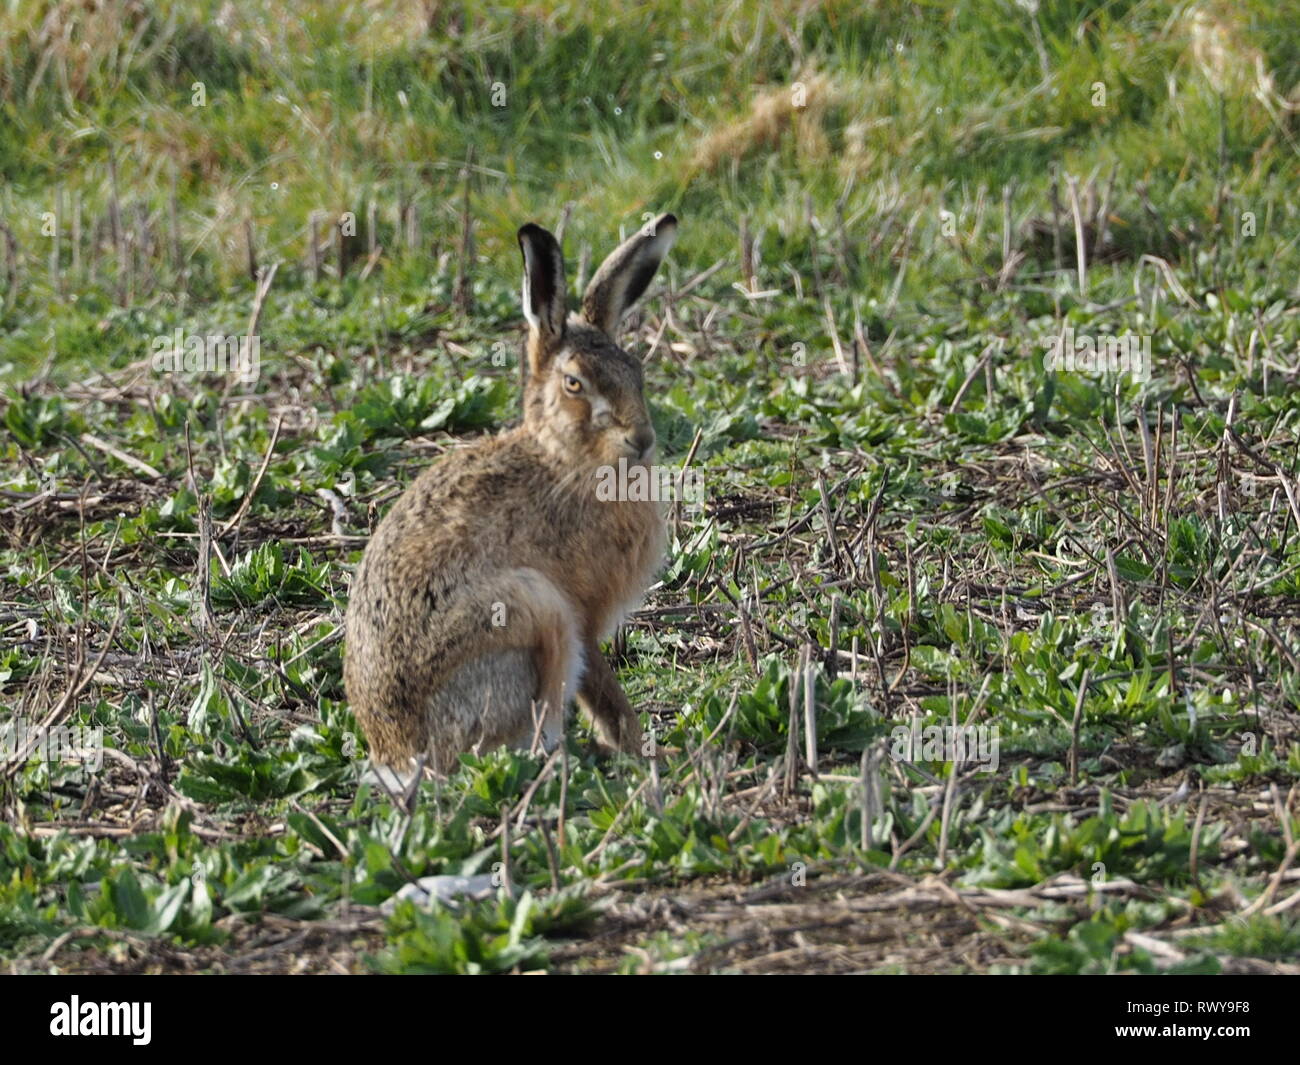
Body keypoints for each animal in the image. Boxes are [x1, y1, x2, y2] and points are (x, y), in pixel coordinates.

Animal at [344, 213, 679, 779]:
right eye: (574, 383)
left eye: (636, 374)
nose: (642, 439)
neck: (565, 460)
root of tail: (401, 754)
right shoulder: (580, 613)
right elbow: (603, 690)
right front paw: (636, 748)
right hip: (535, 610)